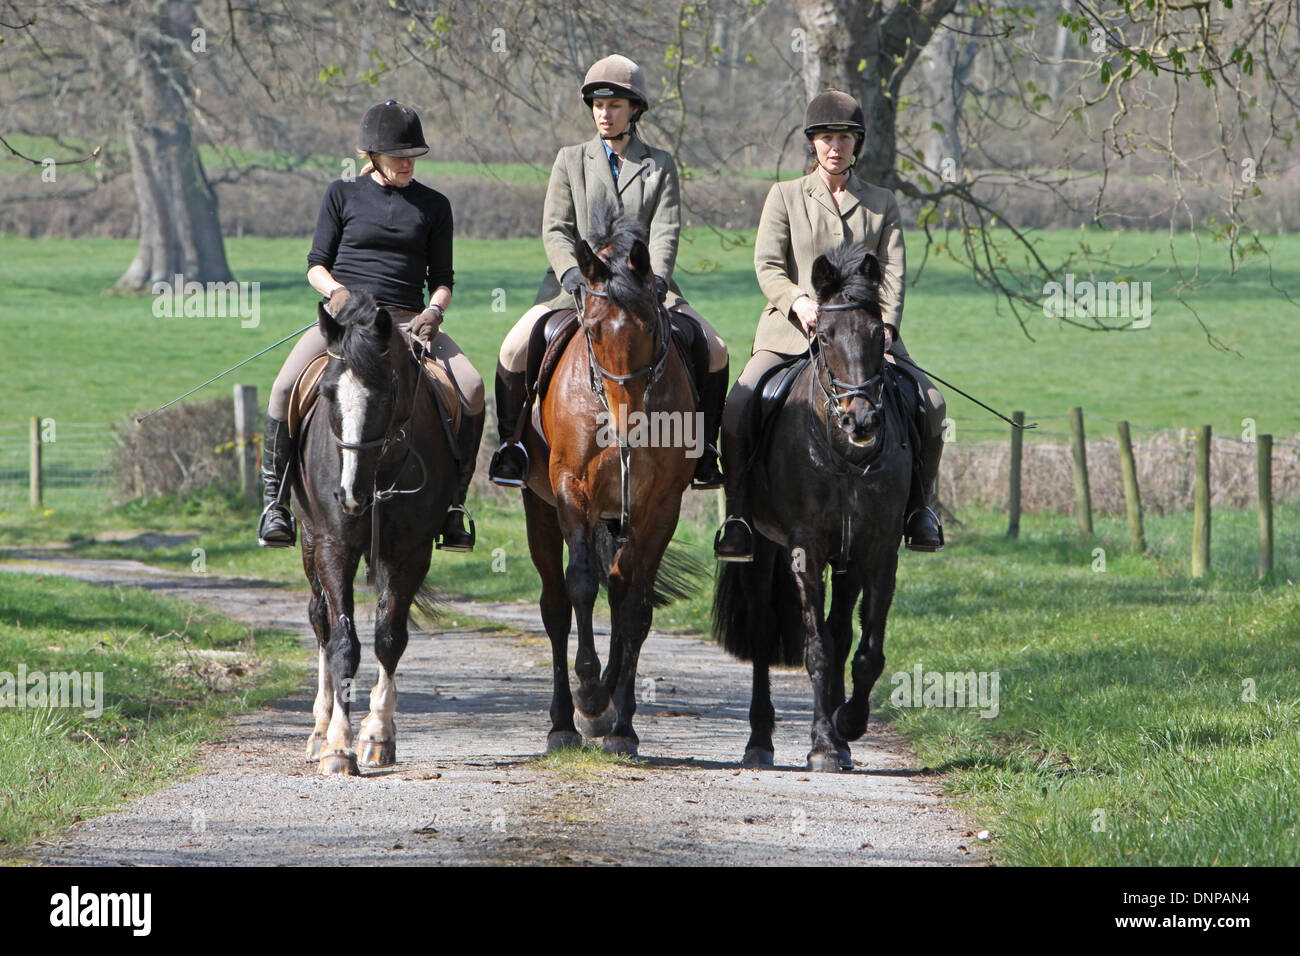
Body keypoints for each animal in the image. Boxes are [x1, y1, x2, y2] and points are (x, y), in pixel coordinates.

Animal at [292, 292, 454, 775]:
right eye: (327, 393)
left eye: (385, 394)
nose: (349, 494)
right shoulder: (334, 546)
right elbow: (343, 641)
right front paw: (337, 746)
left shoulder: (412, 553)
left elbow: (389, 637)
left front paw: (378, 735)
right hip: (309, 542)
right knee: (321, 622)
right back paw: (319, 730)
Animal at [519, 201, 703, 757]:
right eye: (594, 330)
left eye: (650, 328)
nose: (625, 427)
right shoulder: (569, 492)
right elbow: (581, 584)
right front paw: (590, 695)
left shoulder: (660, 506)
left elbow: (635, 605)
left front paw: (619, 723)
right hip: (539, 507)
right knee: (555, 605)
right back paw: (564, 721)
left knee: (621, 587)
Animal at [712, 243, 914, 772]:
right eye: (823, 336)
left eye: (878, 333)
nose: (861, 420)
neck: (845, 456)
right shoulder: (806, 547)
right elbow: (817, 647)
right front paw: (822, 744)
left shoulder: (878, 549)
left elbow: (866, 649)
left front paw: (848, 725)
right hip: (762, 547)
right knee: (764, 633)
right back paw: (759, 741)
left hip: (848, 559)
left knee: (841, 631)